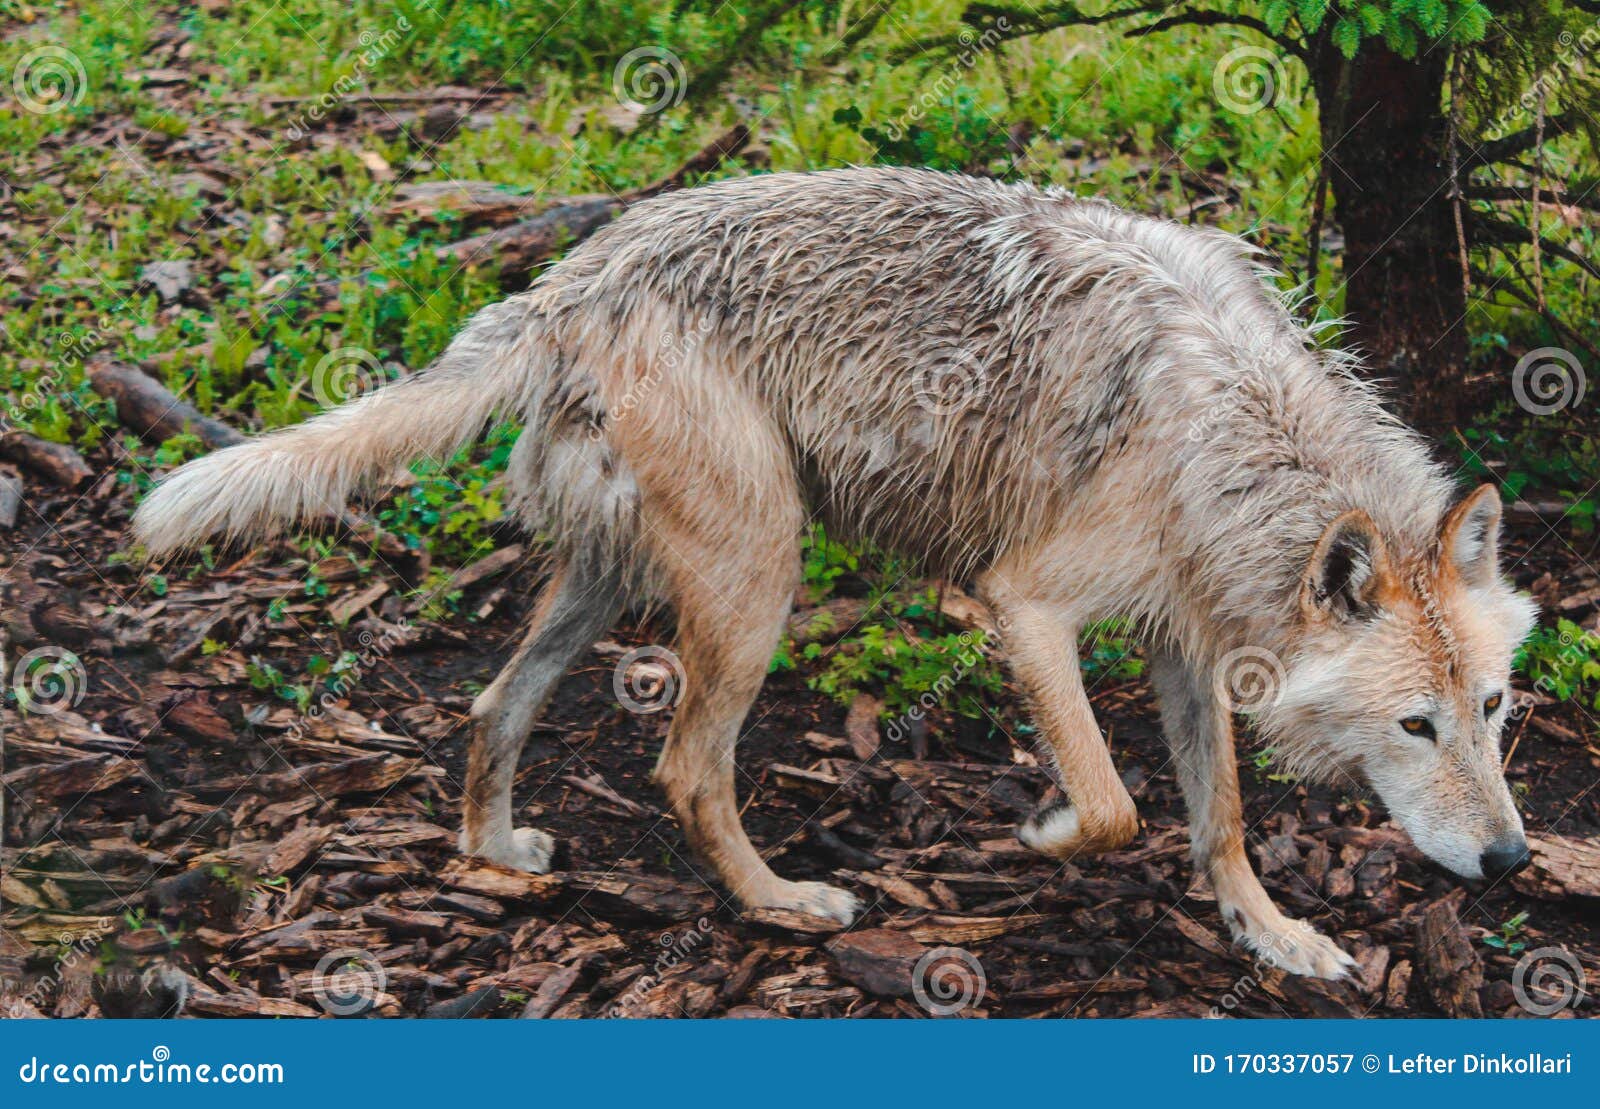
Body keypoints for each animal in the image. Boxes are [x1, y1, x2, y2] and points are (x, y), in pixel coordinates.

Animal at [135, 167, 1537, 979]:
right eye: (1413, 724)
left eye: (1492, 709)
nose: (1516, 862)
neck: (1231, 427)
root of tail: (569, 280)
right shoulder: (1023, 604)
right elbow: (1112, 805)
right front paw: (1037, 834)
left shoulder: (1187, 640)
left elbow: (1221, 817)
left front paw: (1279, 937)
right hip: (758, 578)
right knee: (685, 767)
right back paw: (786, 905)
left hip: (616, 581)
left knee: (493, 702)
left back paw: (495, 852)